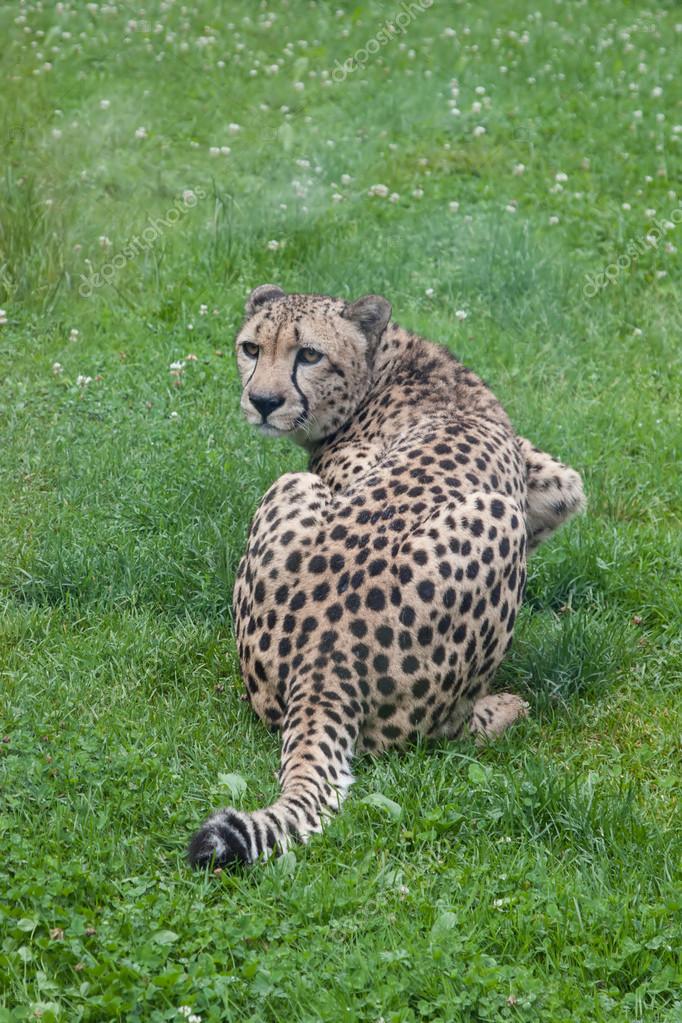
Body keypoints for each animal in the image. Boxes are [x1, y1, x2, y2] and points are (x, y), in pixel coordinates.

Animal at [188, 285, 585, 868]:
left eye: (309, 354)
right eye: (251, 348)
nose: (262, 402)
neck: (388, 362)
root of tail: (324, 664)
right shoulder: (552, 481)